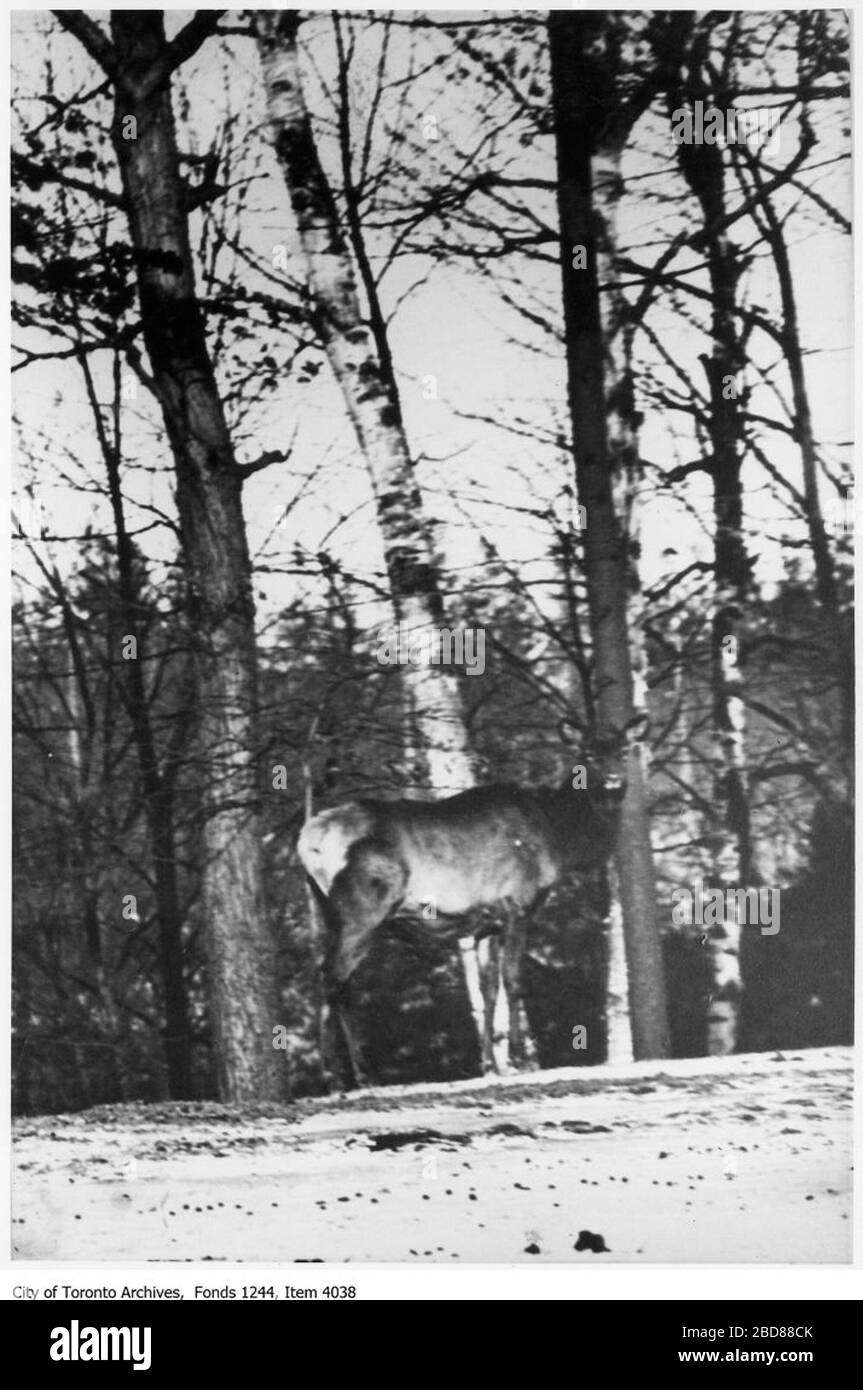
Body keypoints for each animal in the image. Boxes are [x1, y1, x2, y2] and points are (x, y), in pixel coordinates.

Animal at [298, 748, 629, 1089]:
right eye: (589, 756)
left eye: (623, 749)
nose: (615, 778)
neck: (560, 838)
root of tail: (308, 841)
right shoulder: (516, 906)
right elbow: (514, 981)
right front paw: (519, 1059)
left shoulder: (487, 925)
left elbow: (488, 991)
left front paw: (490, 1063)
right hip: (364, 910)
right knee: (332, 977)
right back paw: (345, 1074)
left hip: (331, 915)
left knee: (335, 980)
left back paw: (346, 1073)